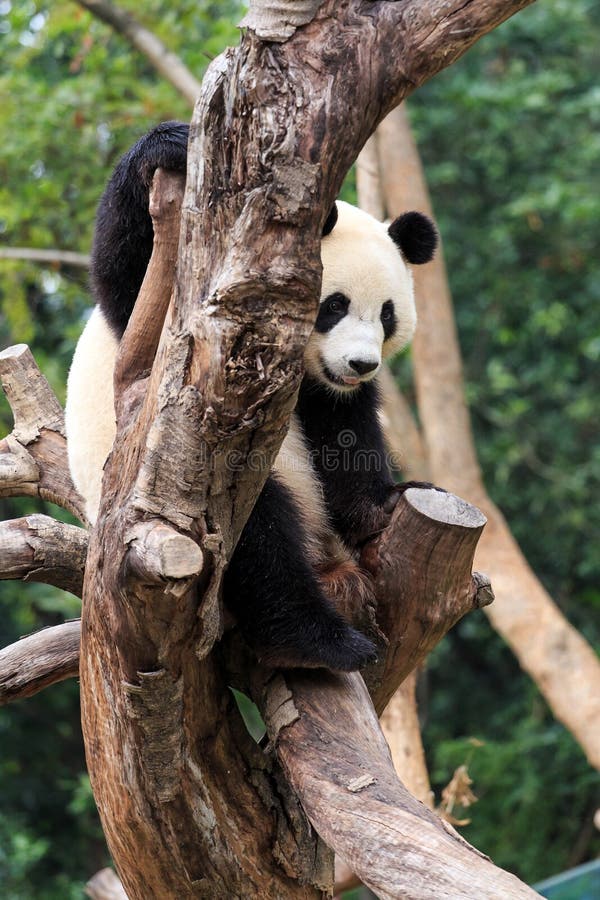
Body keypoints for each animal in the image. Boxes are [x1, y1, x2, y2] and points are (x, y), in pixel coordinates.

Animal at [65, 121, 437, 672]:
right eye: (335, 305)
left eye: (387, 314)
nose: (361, 365)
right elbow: (124, 274)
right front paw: (170, 145)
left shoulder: (324, 393)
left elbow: (345, 436)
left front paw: (384, 503)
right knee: (256, 535)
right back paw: (318, 640)